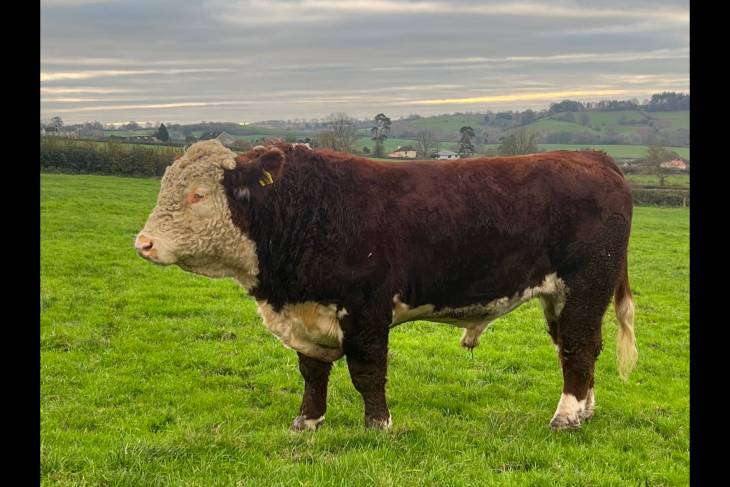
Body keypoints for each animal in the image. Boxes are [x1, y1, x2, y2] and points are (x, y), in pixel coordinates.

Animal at [135, 139, 637, 431]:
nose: (143, 243)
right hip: (561, 296)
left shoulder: (366, 308)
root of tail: (593, 158)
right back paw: (586, 410)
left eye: (198, 195)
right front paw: (307, 421)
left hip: (584, 284)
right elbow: (312, 371)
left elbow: (367, 371)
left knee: (576, 347)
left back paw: (567, 417)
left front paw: (378, 424)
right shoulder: (308, 310)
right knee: (580, 346)